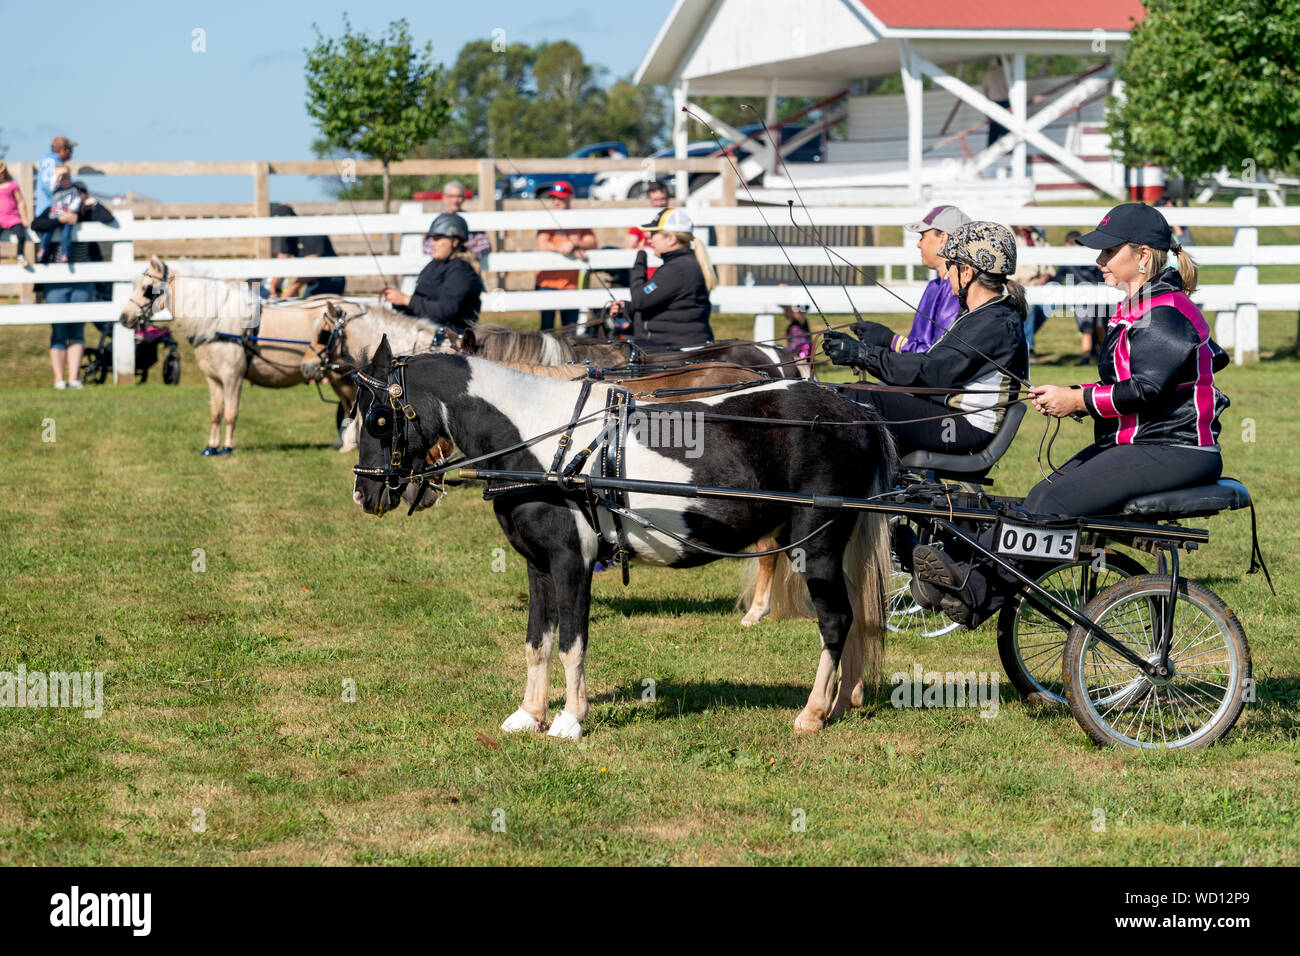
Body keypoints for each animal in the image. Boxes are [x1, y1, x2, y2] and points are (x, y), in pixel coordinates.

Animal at [118, 257, 355, 455]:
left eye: (147, 289)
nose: (124, 318)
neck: (216, 321)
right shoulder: (213, 378)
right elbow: (216, 412)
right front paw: (211, 447)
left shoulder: (232, 377)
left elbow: (231, 412)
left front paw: (227, 447)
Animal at [350, 338, 895, 738]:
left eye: (378, 418)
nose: (363, 492)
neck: (543, 444)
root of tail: (854, 411)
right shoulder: (538, 564)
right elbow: (536, 642)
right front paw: (529, 715)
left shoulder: (572, 561)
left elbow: (571, 642)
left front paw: (570, 720)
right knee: (855, 617)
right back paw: (844, 702)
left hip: (815, 545)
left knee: (835, 620)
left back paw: (813, 713)